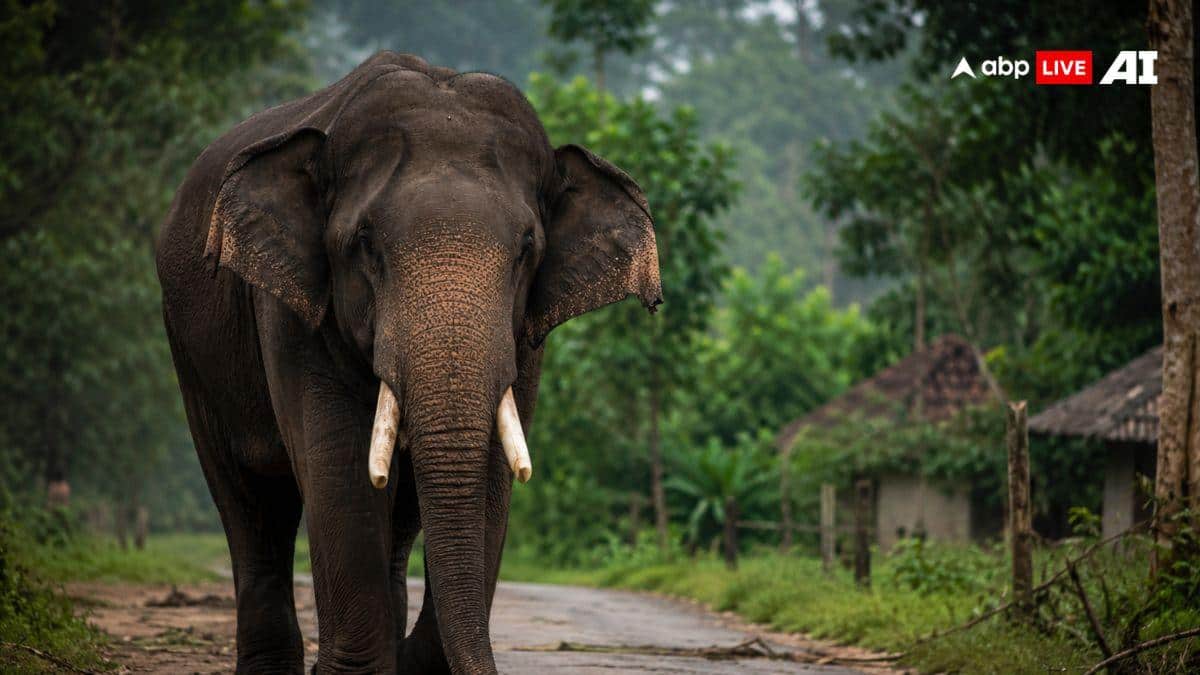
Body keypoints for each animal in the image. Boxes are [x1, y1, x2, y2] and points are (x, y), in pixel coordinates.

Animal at [155, 52, 661, 674]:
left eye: (527, 249)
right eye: (365, 243)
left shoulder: (525, 339)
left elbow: (491, 473)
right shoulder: (292, 312)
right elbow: (341, 463)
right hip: (190, 352)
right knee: (251, 505)